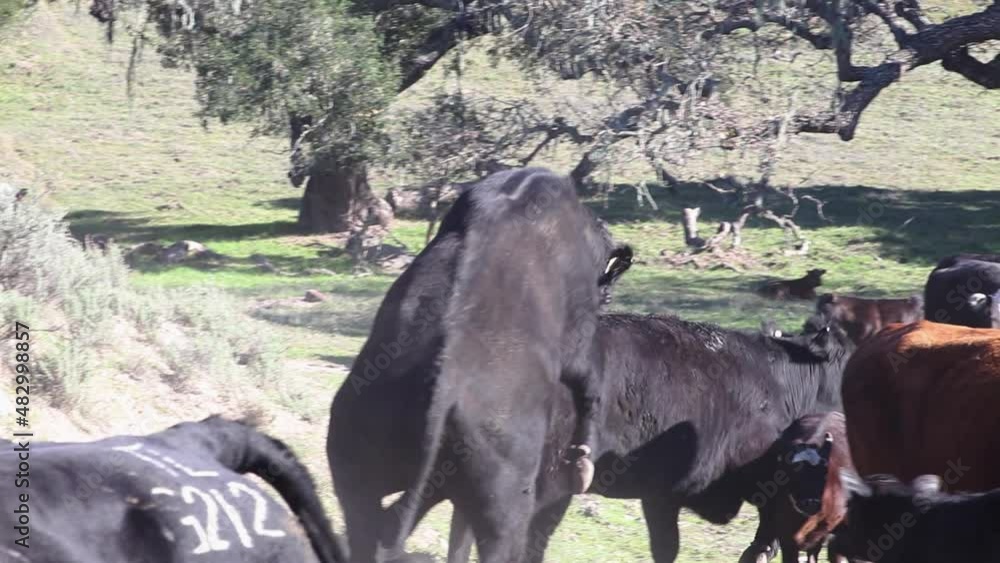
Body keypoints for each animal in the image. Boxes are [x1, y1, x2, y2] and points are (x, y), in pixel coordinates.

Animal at [326, 167, 632, 563]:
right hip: (505, 512)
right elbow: (591, 381)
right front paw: (582, 461)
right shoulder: (578, 338)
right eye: (605, 294)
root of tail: (443, 384)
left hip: (361, 484)